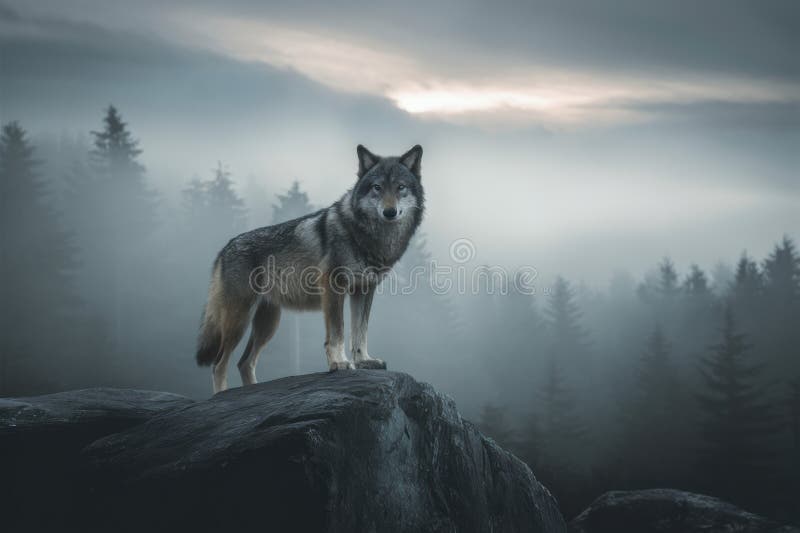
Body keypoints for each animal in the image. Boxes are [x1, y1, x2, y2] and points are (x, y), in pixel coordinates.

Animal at [195, 145, 424, 393]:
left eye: (400, 187)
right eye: (377, 187)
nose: (389, 212)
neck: (367, 236)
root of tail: (225, 248)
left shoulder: (364, 290)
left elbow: (360, 331)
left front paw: (363, 360)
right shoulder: (334, 287)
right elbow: (337, 331)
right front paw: (339, 363)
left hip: (268, 324)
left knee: (244, 363)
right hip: (239, 320)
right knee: (219, 364)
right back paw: (222, 395)